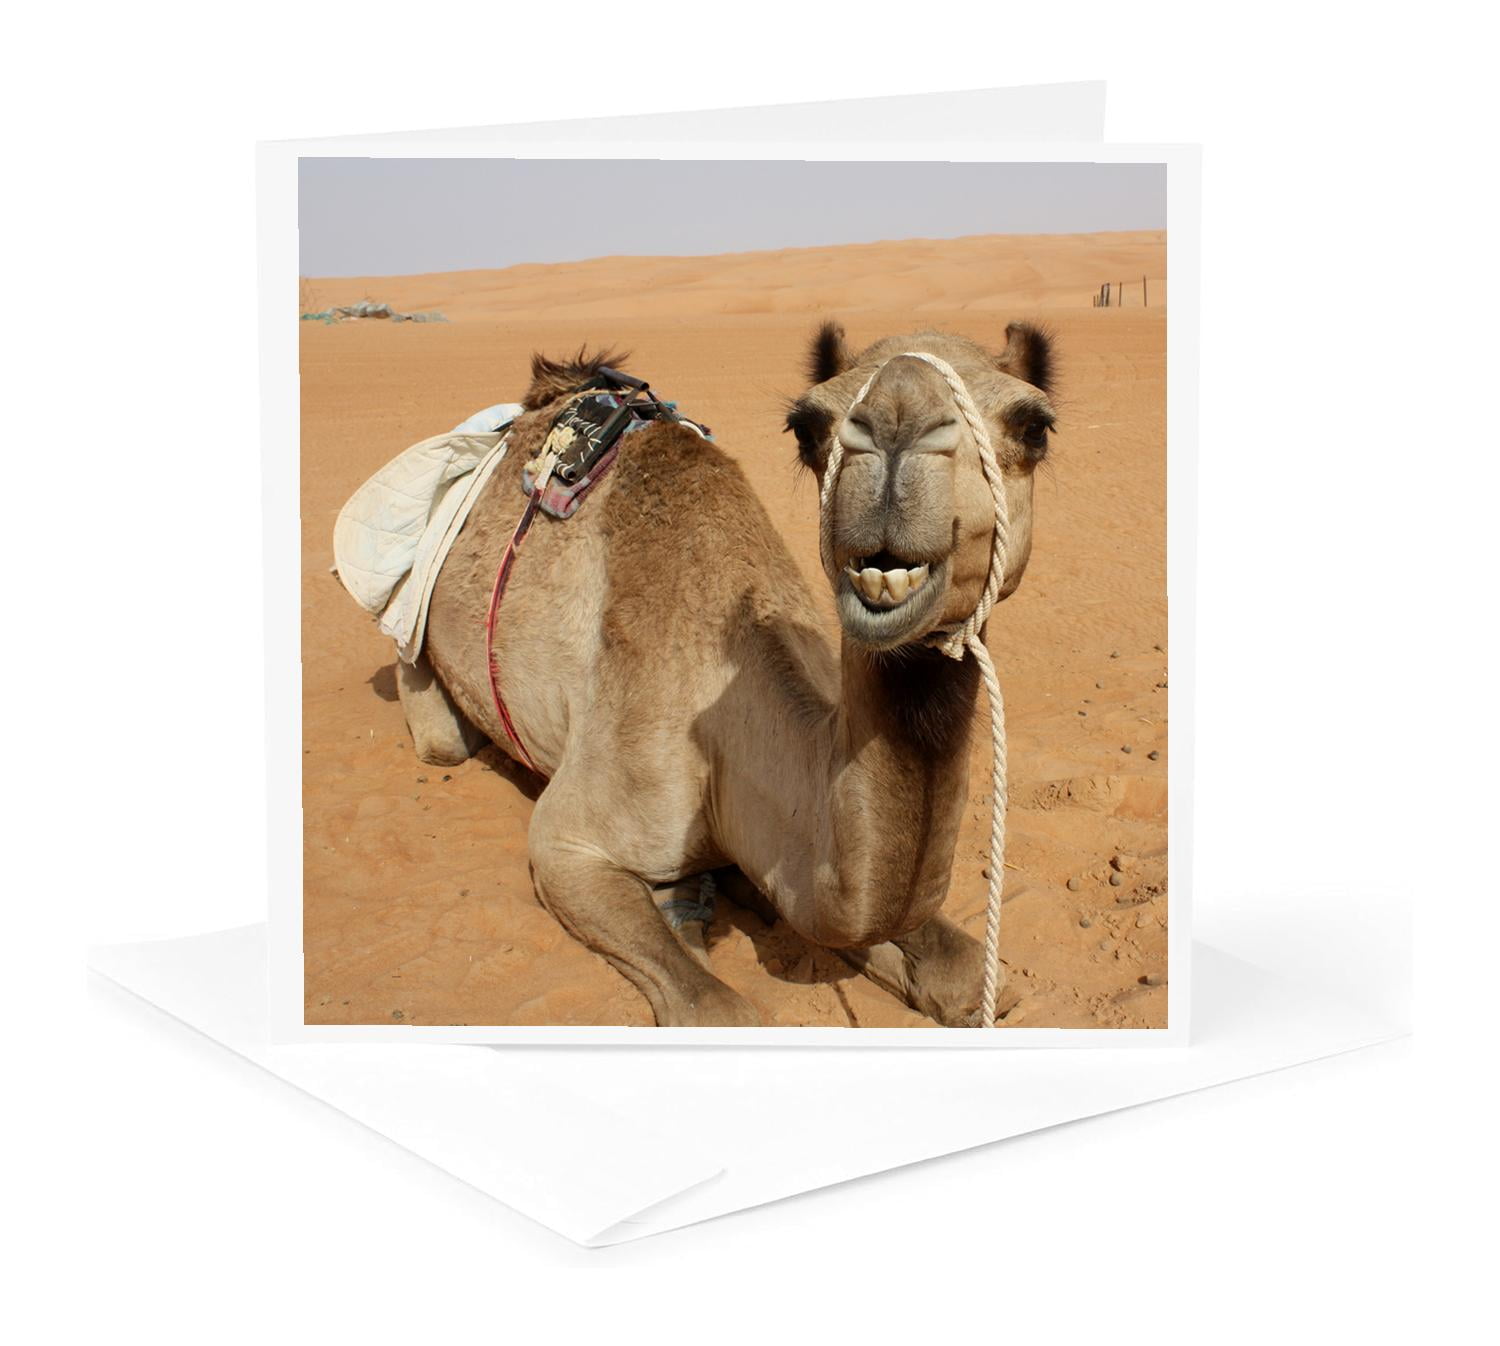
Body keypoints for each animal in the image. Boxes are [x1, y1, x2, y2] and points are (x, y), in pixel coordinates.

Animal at [396, 321, 1057, 1026]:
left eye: (1035, 427)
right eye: (807, 427)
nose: (897, 423)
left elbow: (969, 975)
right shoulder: (567, 845)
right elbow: (719, 1010)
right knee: (440, 734)